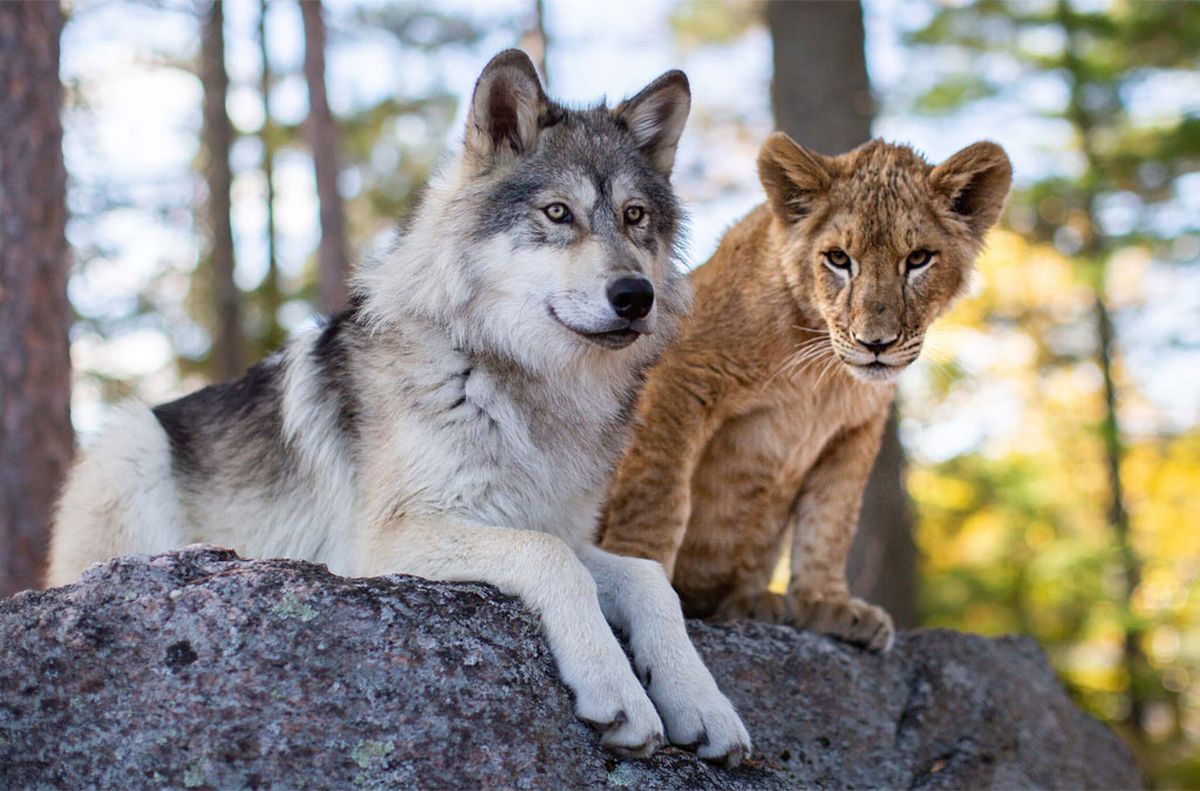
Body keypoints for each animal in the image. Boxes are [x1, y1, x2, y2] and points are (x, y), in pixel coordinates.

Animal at [47, 50, 751, 764]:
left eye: (635, 218)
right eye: (558, 213)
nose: (636, 296)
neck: (520, 383)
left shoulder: (556, 525)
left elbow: (648, 578)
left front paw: (703, 703)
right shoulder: (385, 544)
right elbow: (551, 560)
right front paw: (618, 690)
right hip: (131, 442)